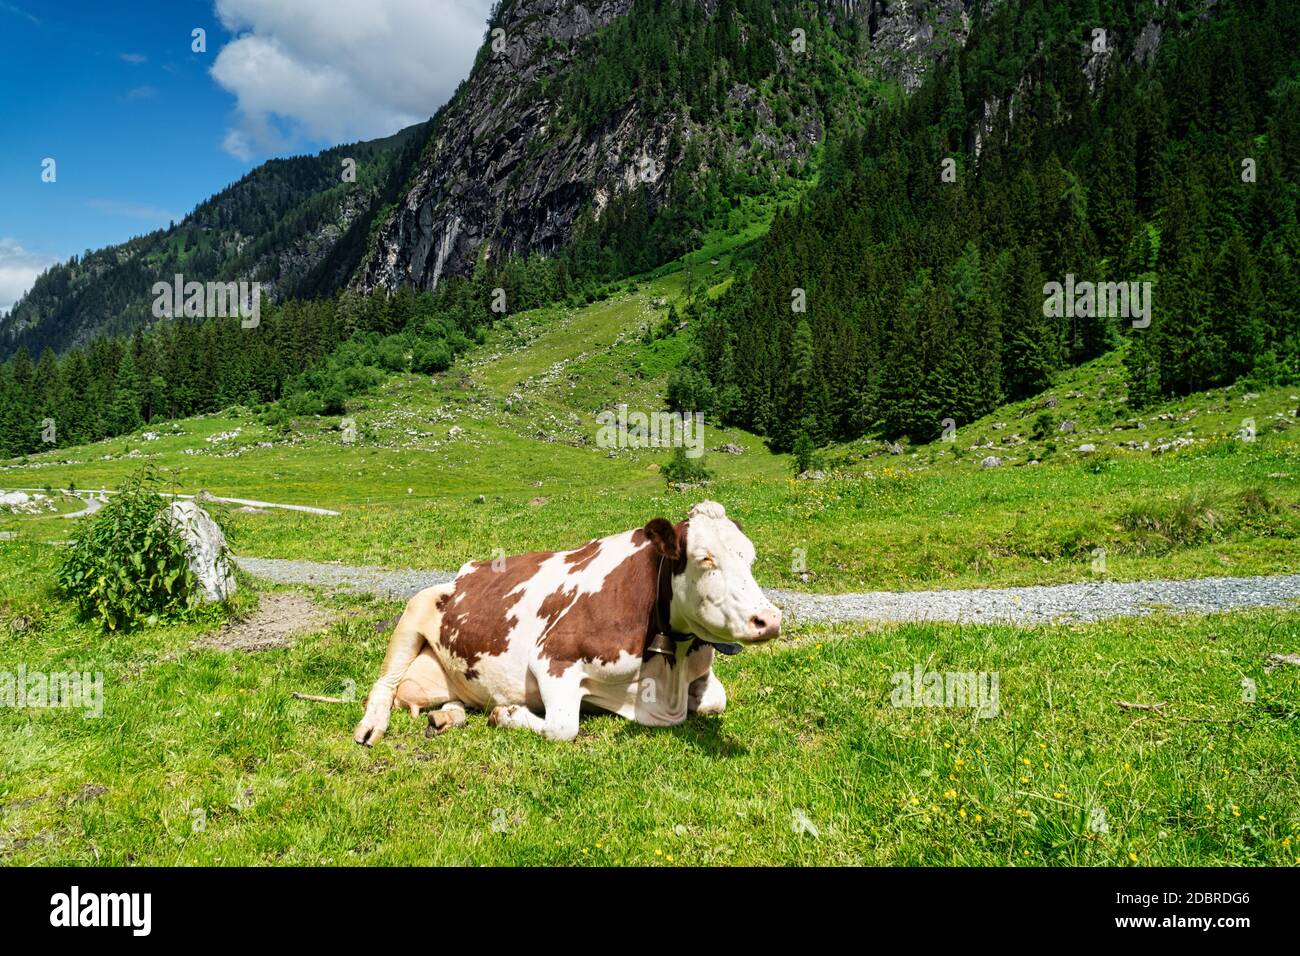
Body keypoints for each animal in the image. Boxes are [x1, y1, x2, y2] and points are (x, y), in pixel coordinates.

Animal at [353, 501, 781, 744]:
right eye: (704, 558)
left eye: (750, 557)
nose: (770, 618)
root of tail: (466, 570)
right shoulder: (552, 657)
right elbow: (563, 727)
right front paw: (507, 715)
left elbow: (715, 700)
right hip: (416, 607)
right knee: (384, 684)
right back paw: (373, 726)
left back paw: (447, 716)